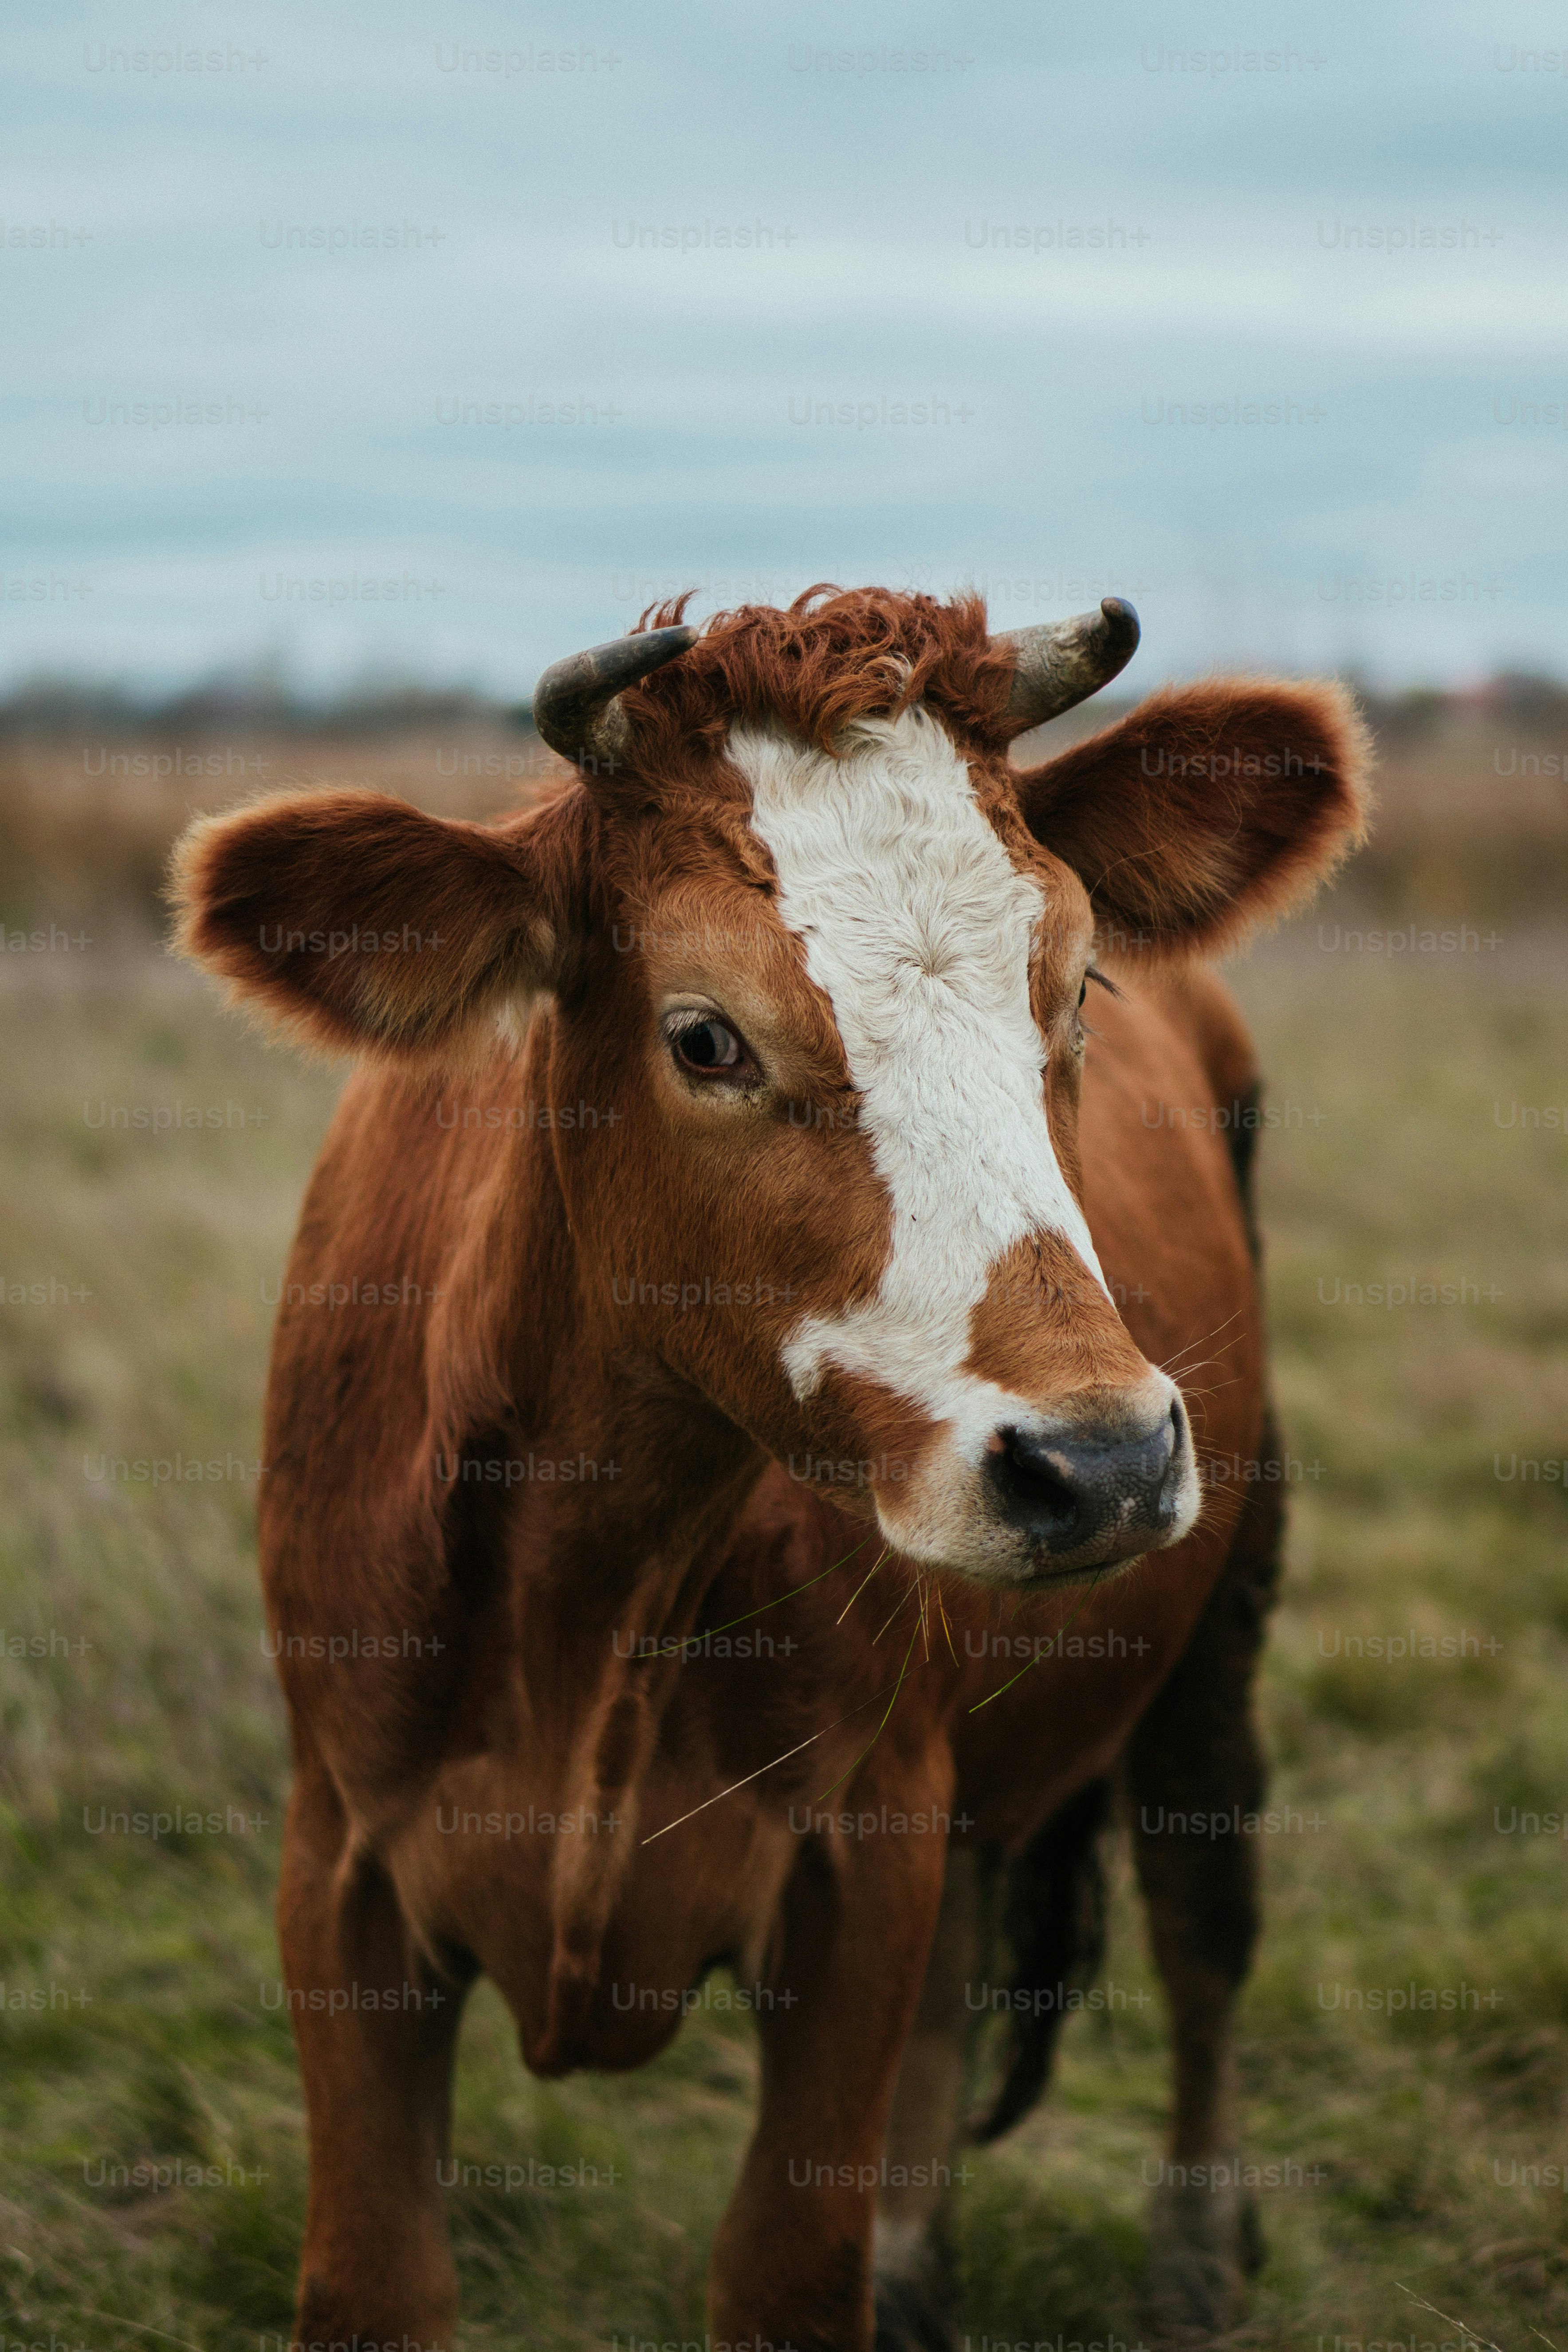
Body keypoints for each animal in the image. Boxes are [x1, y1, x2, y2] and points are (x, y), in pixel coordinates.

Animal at [173, 586, 1367, 2352]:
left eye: (1075, 988)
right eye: (705, 1037)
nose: (1092, 1459)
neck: (592, 1580)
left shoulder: (853, 1859)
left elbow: (791, 2268)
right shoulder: (342, 1865)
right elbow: (375, 2279)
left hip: (1224, 1596)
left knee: (1201, 1910)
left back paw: (1196, 2256)